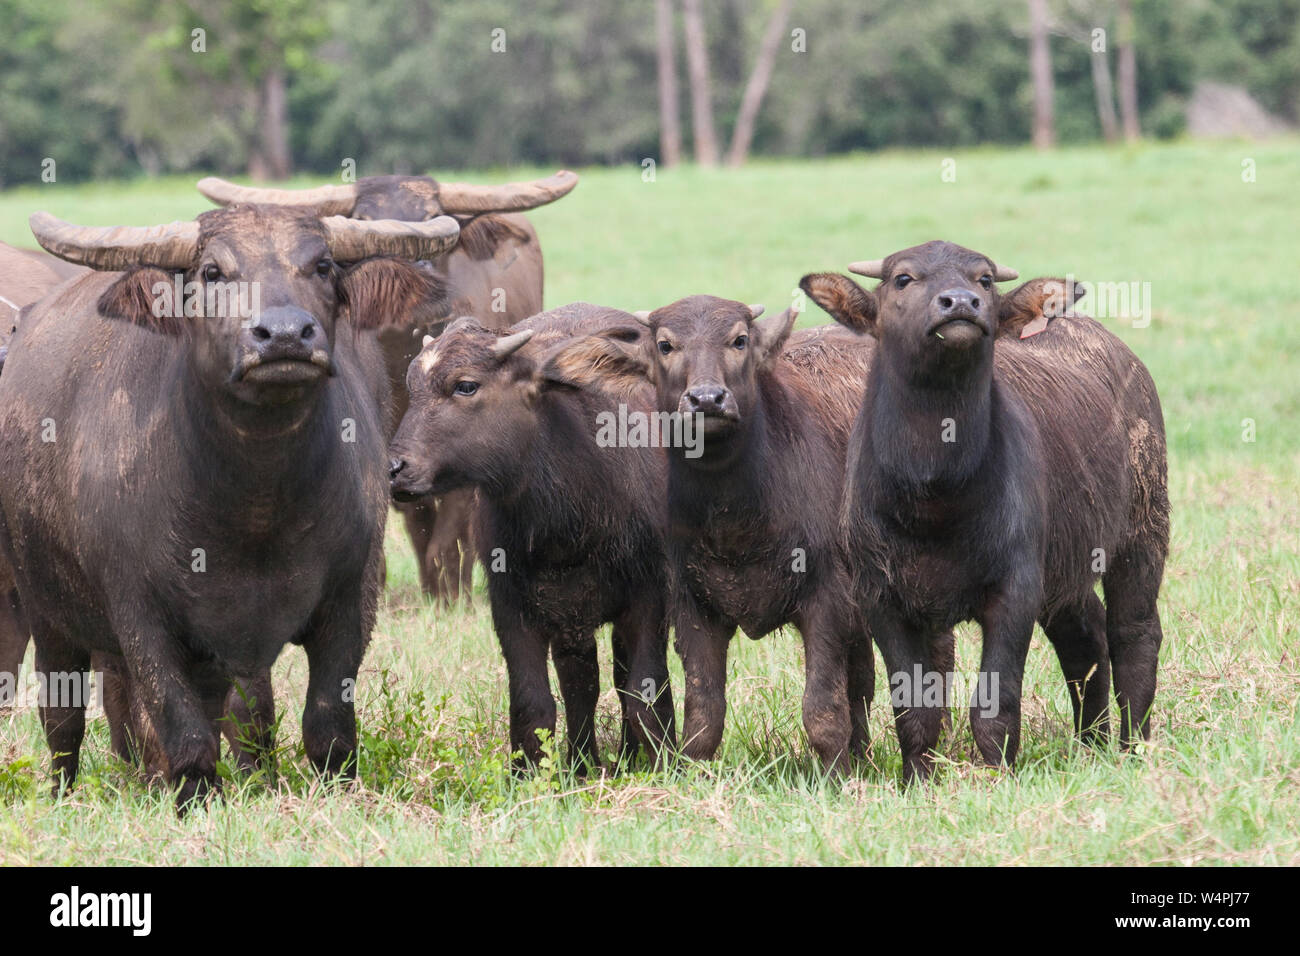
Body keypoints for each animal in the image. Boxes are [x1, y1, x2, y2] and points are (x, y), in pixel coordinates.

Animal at [0, 204, 459, 808]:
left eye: (323, 265)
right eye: (213, 272)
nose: (284, 335)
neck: (254, 506)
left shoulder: (351, 597)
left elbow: (326, 723)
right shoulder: (140, 616)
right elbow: (182, 729)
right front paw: (194, 796)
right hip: (45, 609)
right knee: (63, 718)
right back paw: (64, 790)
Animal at [801, 241, 1169, 782]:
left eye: (985, 280)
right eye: (903, 279)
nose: (960, 304)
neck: (935, 496)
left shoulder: (1015, 588)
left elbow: (995, 706)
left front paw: (999, 775)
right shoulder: (881, 598)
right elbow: (915, 708)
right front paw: (917, 779)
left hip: (1144, 529)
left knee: (1134, 633)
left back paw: (1132, 745)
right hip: (1068, 566)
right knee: (1085, 637)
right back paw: (1091, 741)